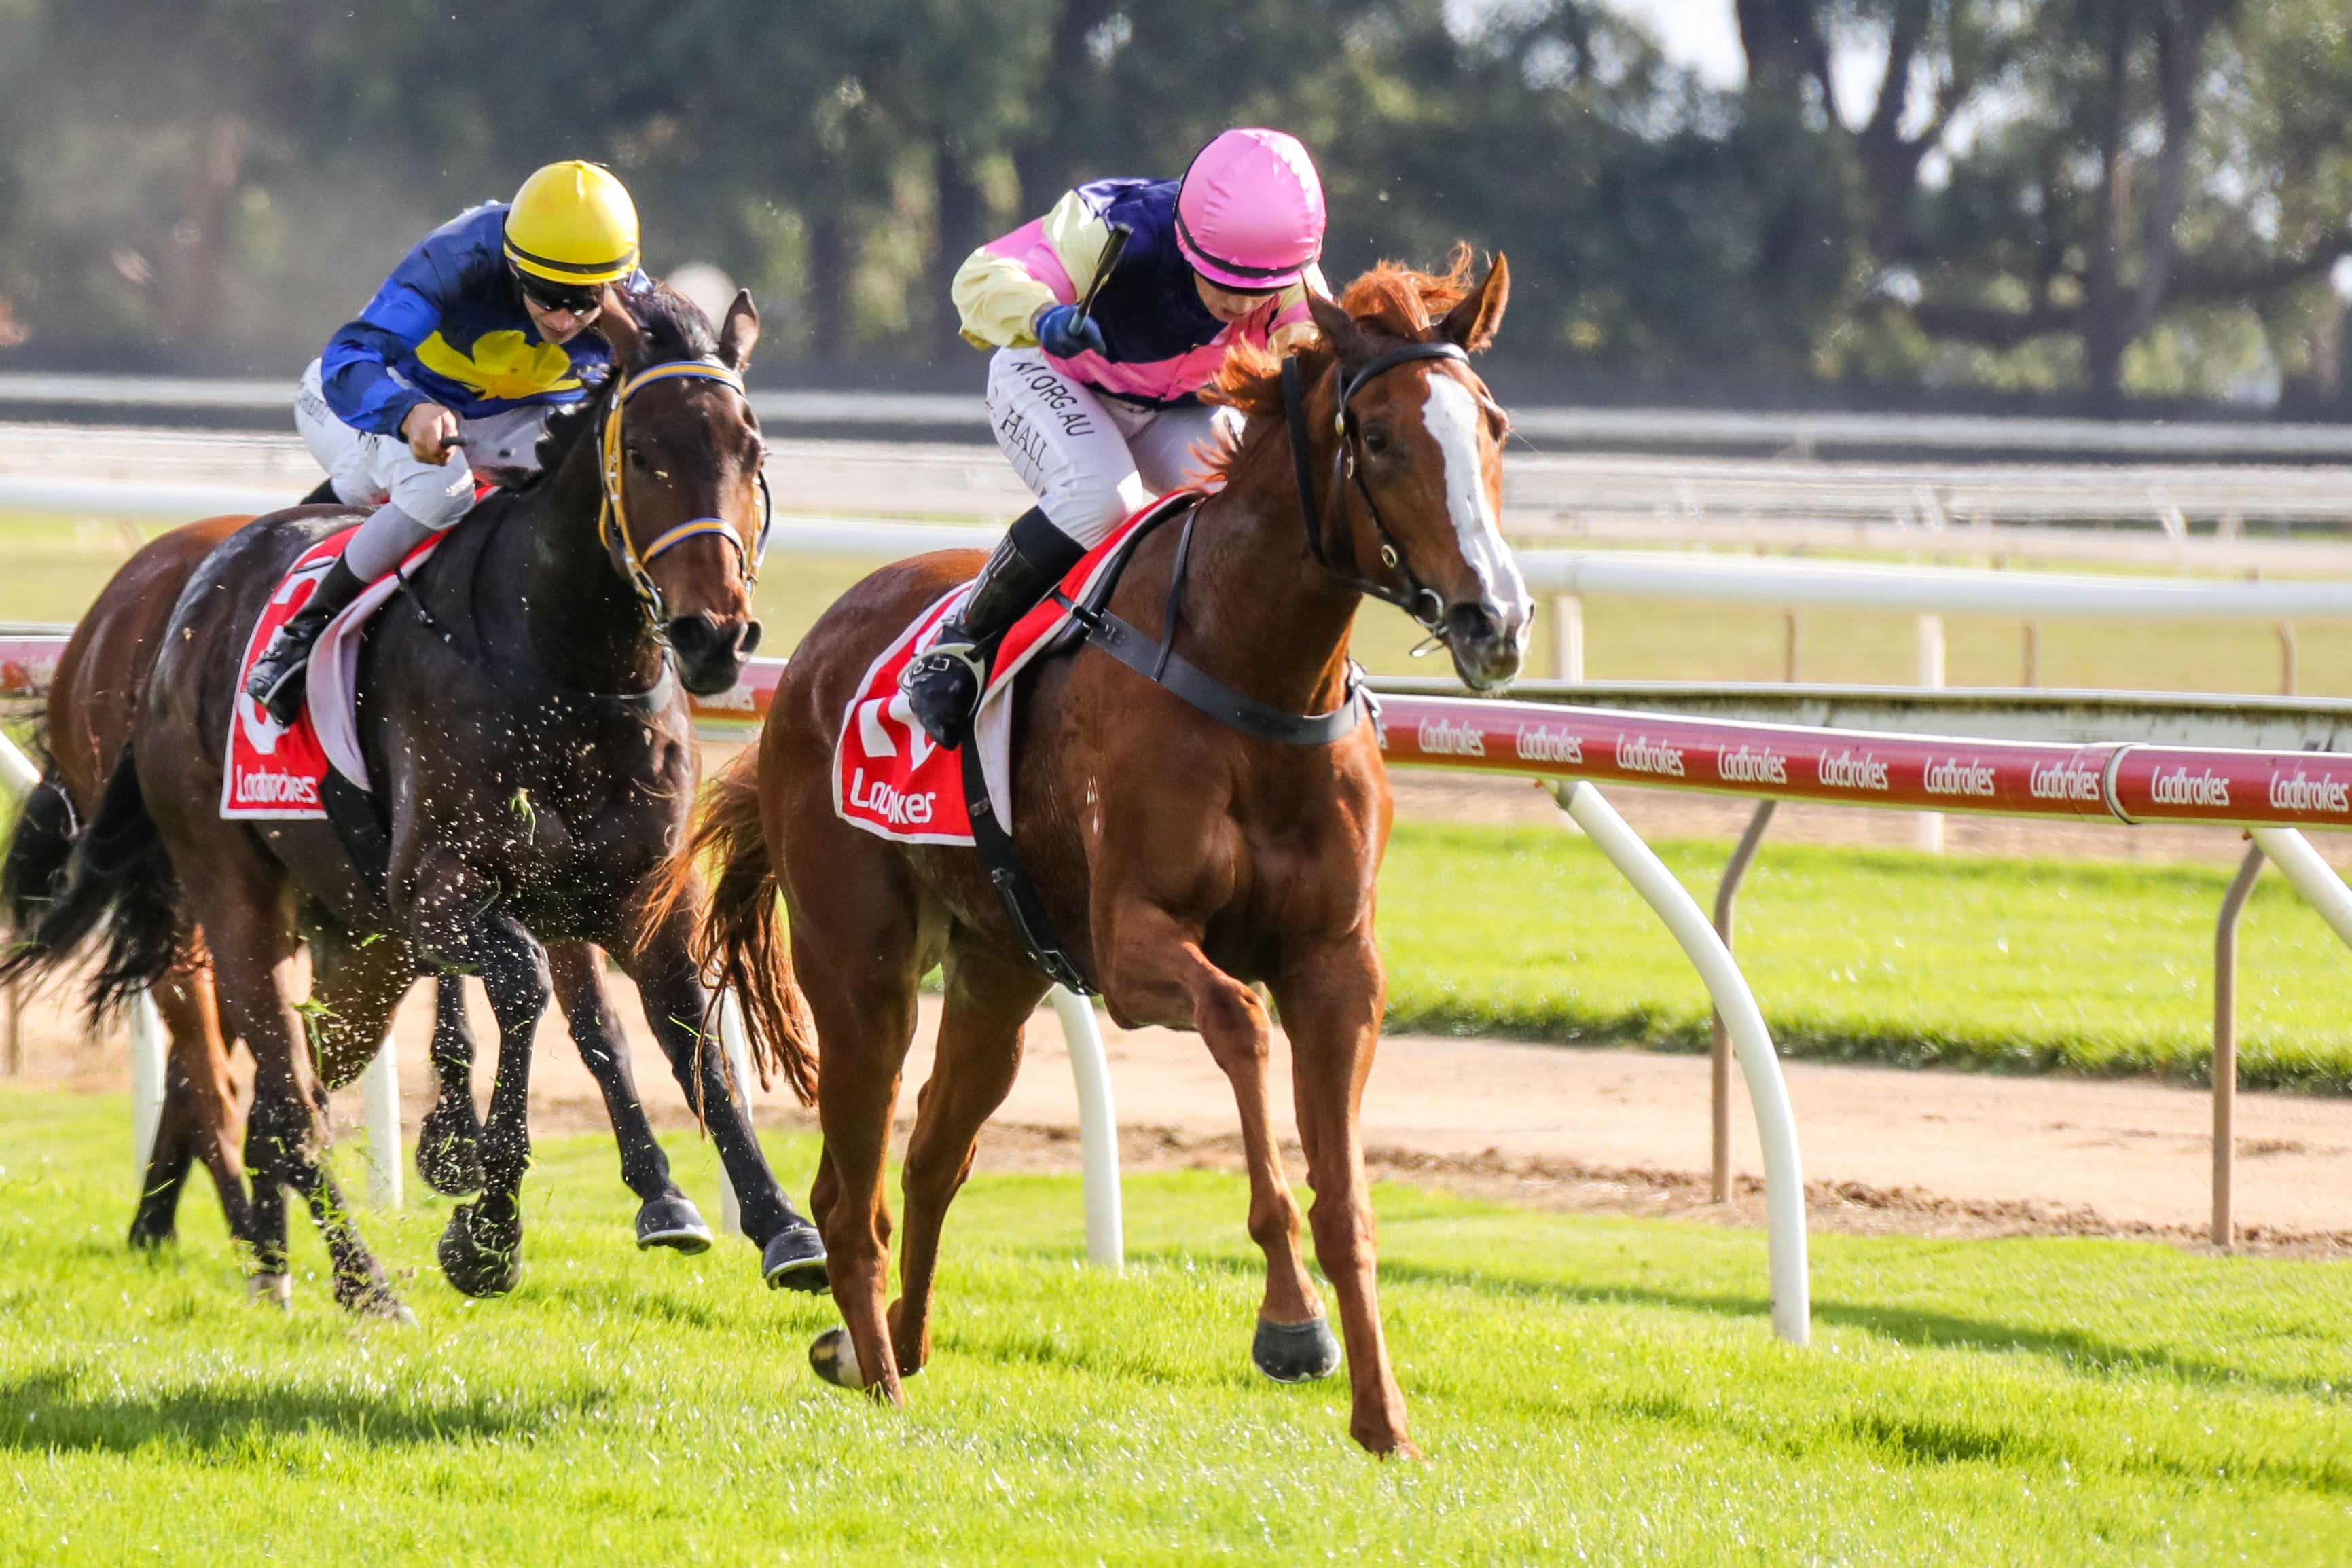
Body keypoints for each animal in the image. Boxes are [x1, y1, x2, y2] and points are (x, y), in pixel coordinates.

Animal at [4, 282, 826, 1319]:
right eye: (642, 452)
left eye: (752, 454)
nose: (712, 636)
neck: (565, 664)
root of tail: (184, 597)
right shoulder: (440, 892)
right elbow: (527, 990)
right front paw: (487, 1228)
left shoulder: (641, 892)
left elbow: (685, 1034)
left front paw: (781, 1225)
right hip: (230, 895)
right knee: (276, 1092)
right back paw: (359, 1282)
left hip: (359, 945)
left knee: (289, 1086)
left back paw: (271, 1257)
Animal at [685, 254, 1527, 1455]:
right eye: (1374, 437)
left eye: (1490, 425)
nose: (1493, 618)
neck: (1252, 672)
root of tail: (808, 659)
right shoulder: (1132, 949)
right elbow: (1238, 1022)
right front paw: (1288, 1324)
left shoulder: (1338, 966)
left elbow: (1346, 1197)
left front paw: (1383, 1421)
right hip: (860, 973)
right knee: (853, 1193)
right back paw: (881, 1378)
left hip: (997, 972)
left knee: (934, 1154)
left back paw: (881, 1347)